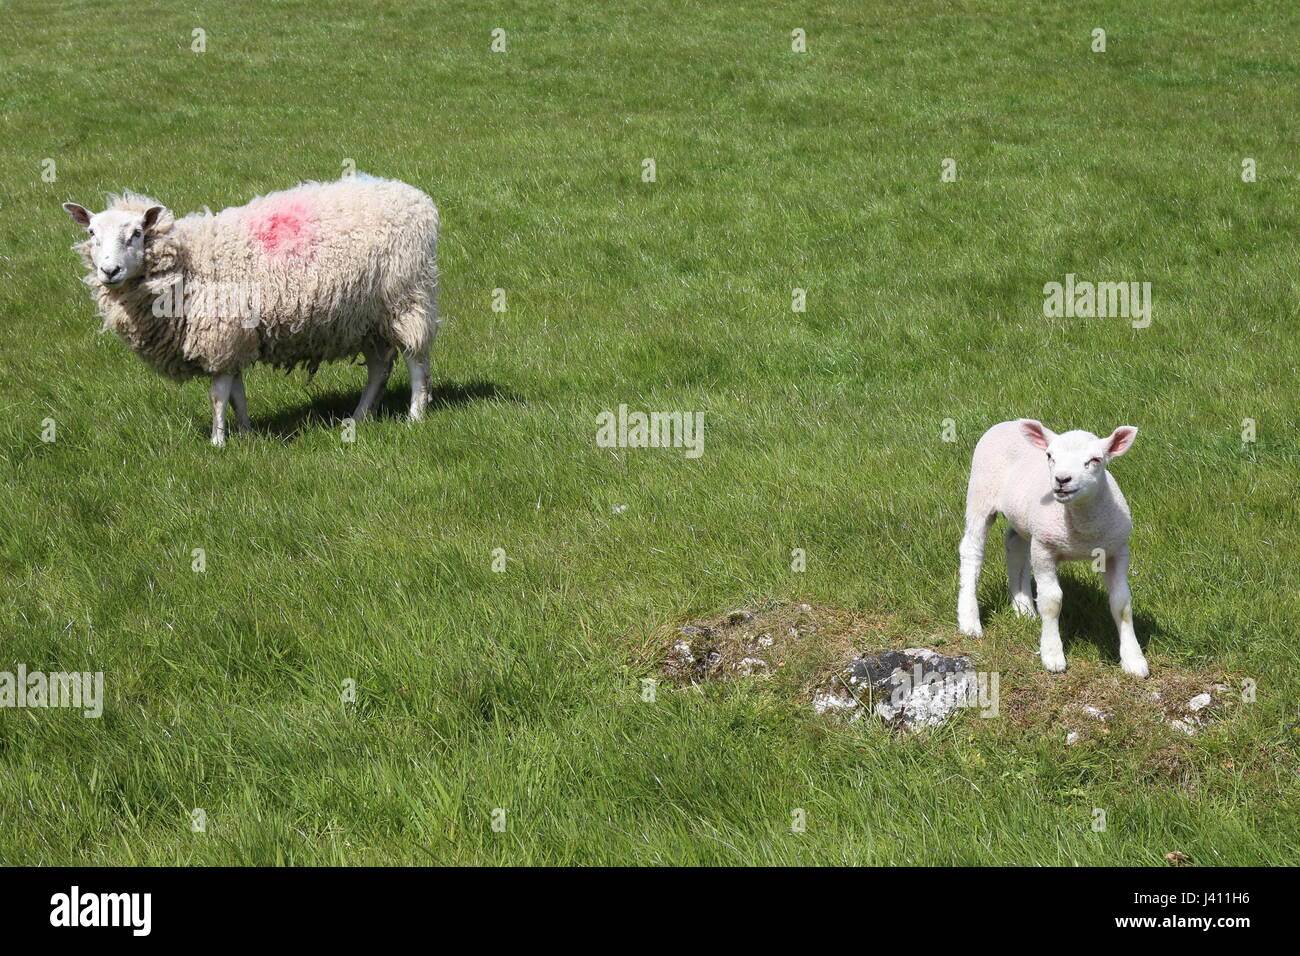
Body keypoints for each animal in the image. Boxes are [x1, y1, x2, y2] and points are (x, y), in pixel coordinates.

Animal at [62, 176, 439, 445]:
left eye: (137, 233)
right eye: (92, 233)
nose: (109, 271)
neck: (188, 262)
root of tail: (416, 197)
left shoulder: (221, 335)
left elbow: (217, 395)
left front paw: (218, 443)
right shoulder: (234, 339)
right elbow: (236, 395)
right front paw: (245, 434)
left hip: (406, 297)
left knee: (416, 360)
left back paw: (415, 415)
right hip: (365, 317)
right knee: (379, 367)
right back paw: (359, 416)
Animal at [957, 419, 1148, 677]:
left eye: (1095, 460)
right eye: (1050, 456)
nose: (1062, 479)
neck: (1082, 530)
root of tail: (1008, 422)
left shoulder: (1117, 550)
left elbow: (1122, 603)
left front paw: (1134, 660)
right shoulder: (1044, 548)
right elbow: (1052, 601)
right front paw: (1052, 654)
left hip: (1025, 520)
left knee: (1015, 543)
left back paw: (1023, 607)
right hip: (980, 494)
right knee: (972, 549)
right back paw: (969, 620)